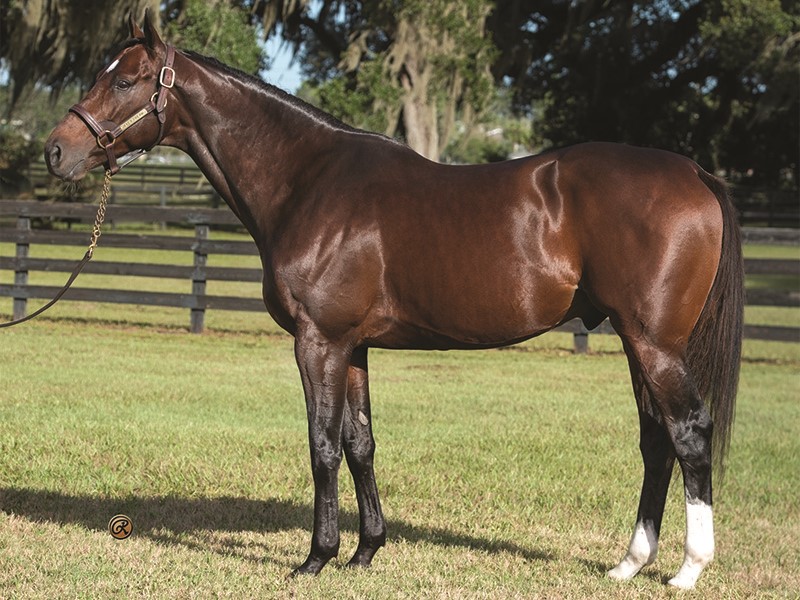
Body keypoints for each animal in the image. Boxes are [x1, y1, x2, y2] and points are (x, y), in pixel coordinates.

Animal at [43, 13, 743, 589]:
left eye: (126, 80)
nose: (56, 151)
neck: (308, 181)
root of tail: (694, 173)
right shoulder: (352, 346)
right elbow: (361, 442)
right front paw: (365, 552)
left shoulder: (318, 341)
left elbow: (322, 444)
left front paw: (316, 558)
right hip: (636, 341)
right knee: (656, 440)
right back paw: (628, 564)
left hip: (654, 343)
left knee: (688, 432)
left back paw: (688, 570)